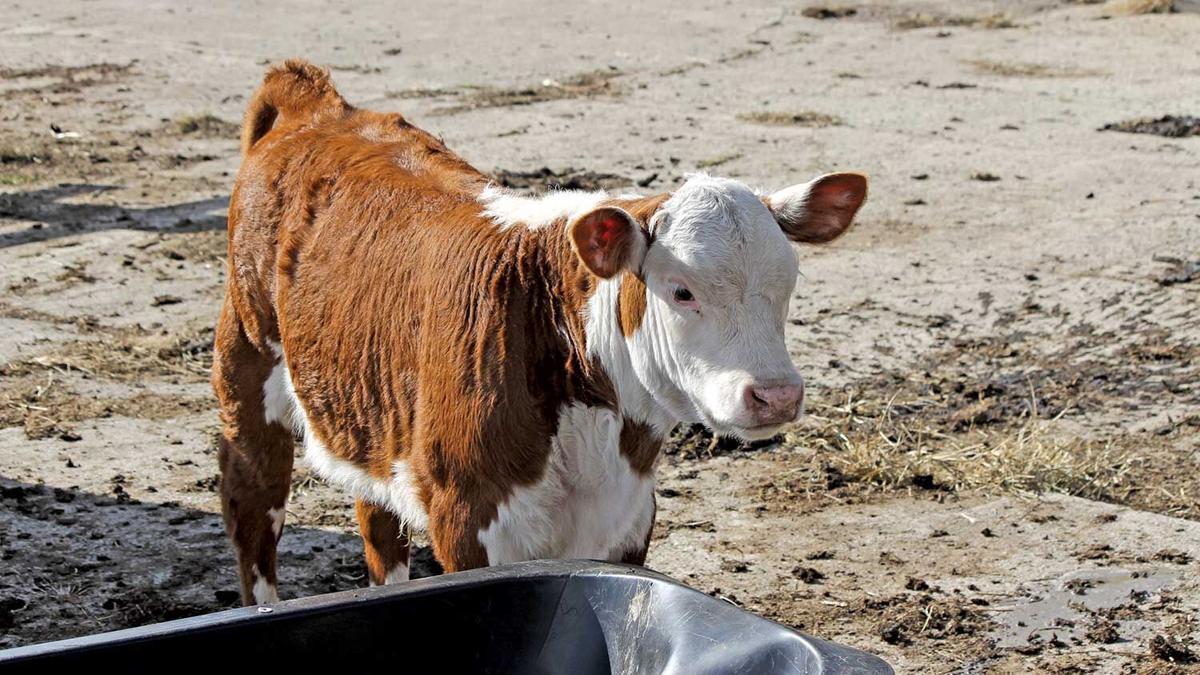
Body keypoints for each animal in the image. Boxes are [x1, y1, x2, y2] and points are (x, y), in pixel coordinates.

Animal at [213, 59, 867, 605]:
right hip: (247, 368)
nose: (776, 395)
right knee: (252, 510)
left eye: (788, 283)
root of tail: (321, 108)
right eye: (681, 290)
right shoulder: (468, 515)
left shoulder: (628, 516)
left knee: (378, 523)